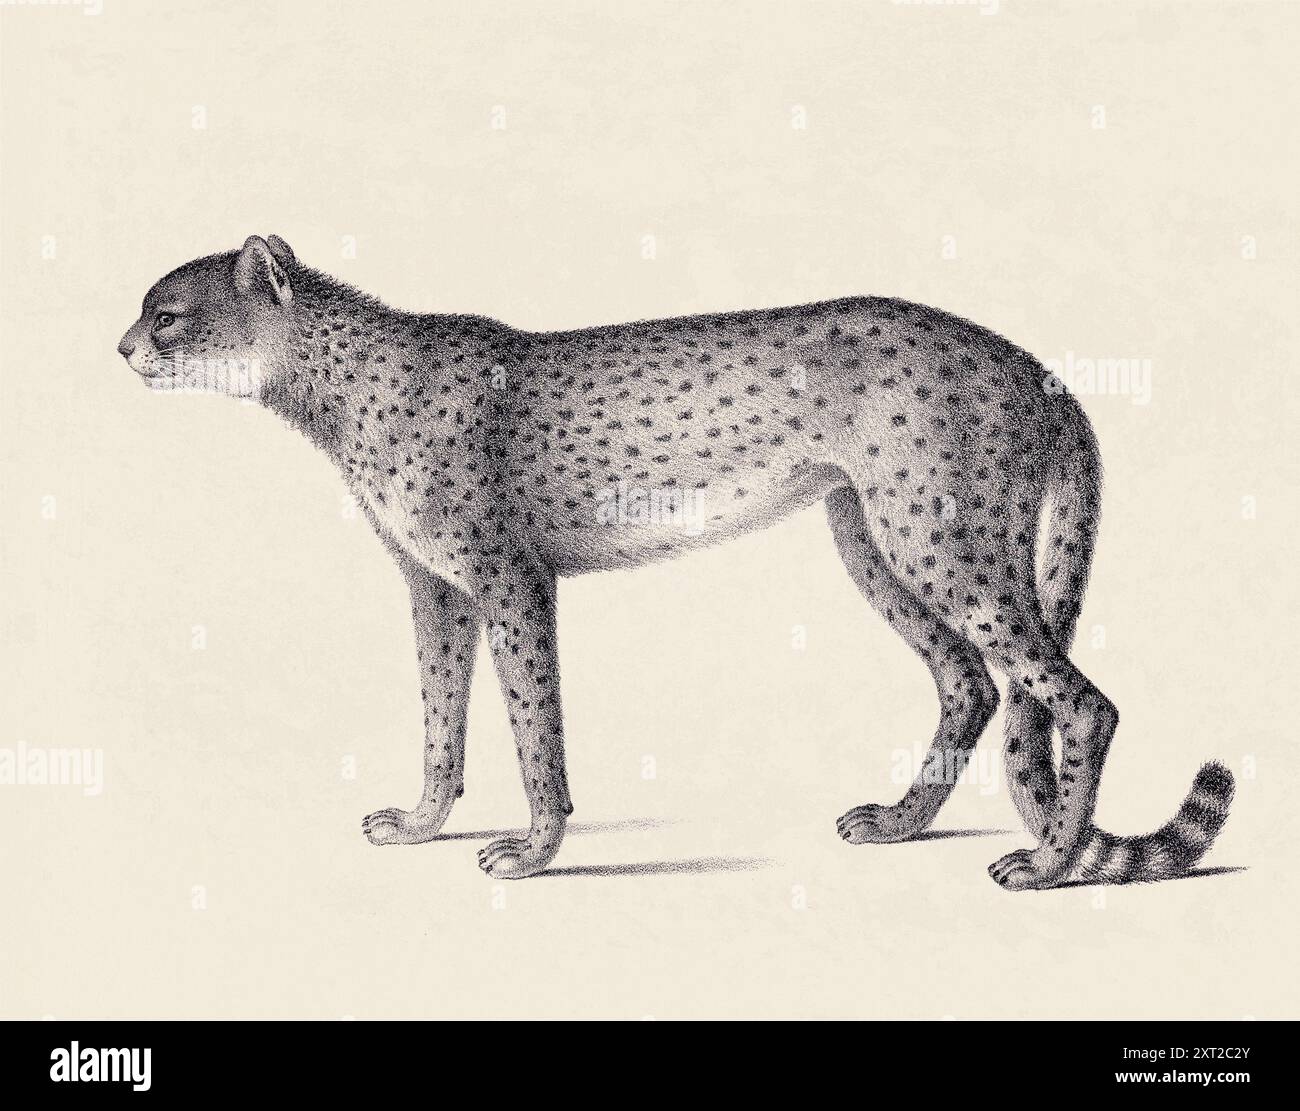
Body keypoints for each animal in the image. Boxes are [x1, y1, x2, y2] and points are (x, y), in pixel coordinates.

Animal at [115, 234, 1235, 888]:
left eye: (167, 312)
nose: (123, 348)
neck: (341, 375)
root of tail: (1035, 364)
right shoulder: (438, 589)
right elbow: (442, 721)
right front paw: (423, 823)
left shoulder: (511, 580)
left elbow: (534, 732)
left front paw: (534, 850)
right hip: (871, 539)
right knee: (973, 683)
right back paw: (903, 823)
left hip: (938, 543)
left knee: (1078, 699)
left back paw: (1050, 863)